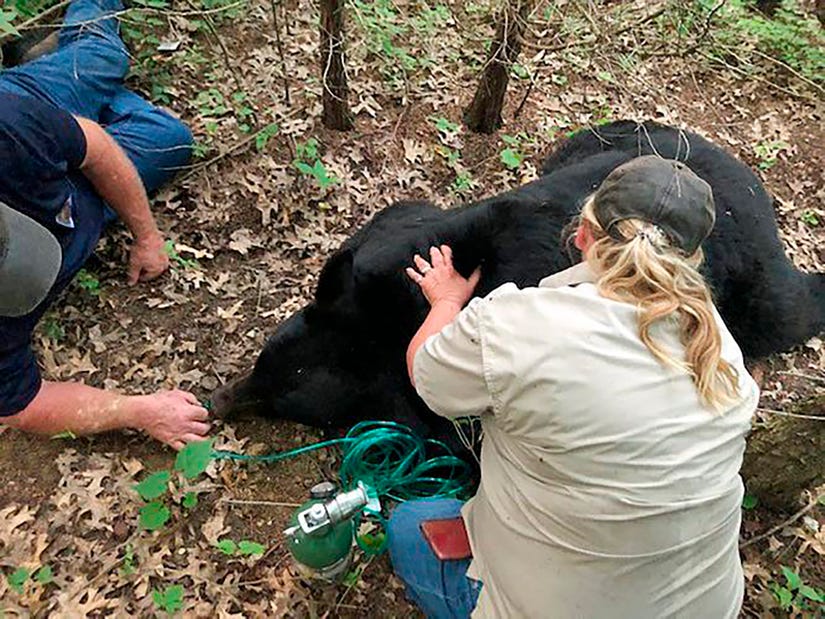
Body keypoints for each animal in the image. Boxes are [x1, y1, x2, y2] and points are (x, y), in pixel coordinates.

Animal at [213, 120, 824, 456]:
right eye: (265, 359)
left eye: (282, 397)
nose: (219, 398)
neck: (382, 319)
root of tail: (747, 181)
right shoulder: (394, 239)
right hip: (601, 140)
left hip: (755, 283)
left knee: (786, 309)